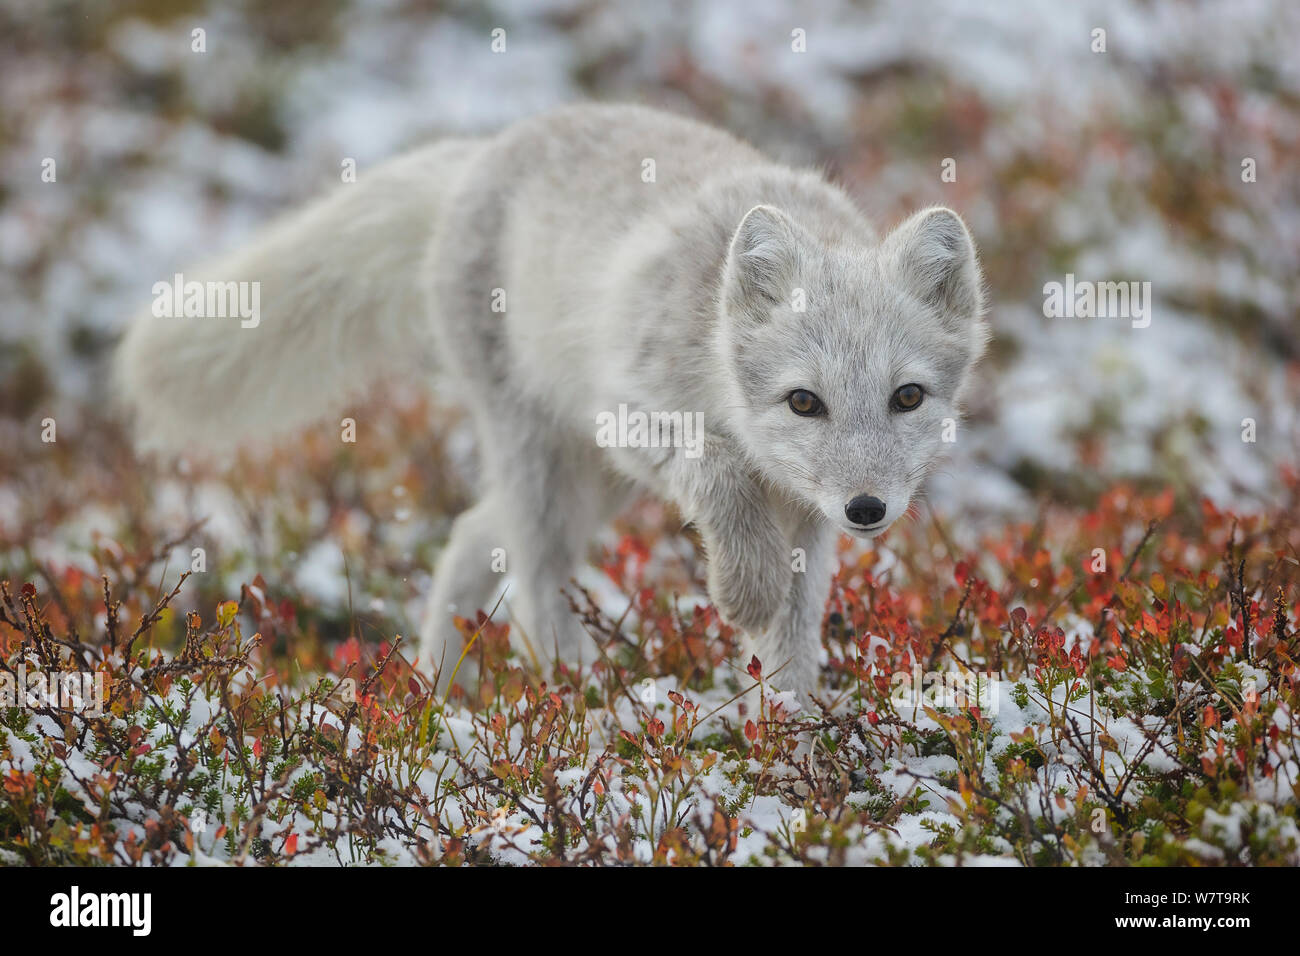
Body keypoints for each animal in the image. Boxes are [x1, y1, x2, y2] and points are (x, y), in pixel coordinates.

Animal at [114, 103, 988, 703]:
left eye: (907, 396)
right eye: (804, 401)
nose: (868, 509)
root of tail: (485, 150)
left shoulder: (804, 512)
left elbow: (796, 638)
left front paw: (794, 739)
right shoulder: (634, 416)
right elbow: (719, 478)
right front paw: (745, 588)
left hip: (592, 484)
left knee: (471, 537)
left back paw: (436, 692)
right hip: (551, 455)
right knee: (531, 582)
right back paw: (574, 697)